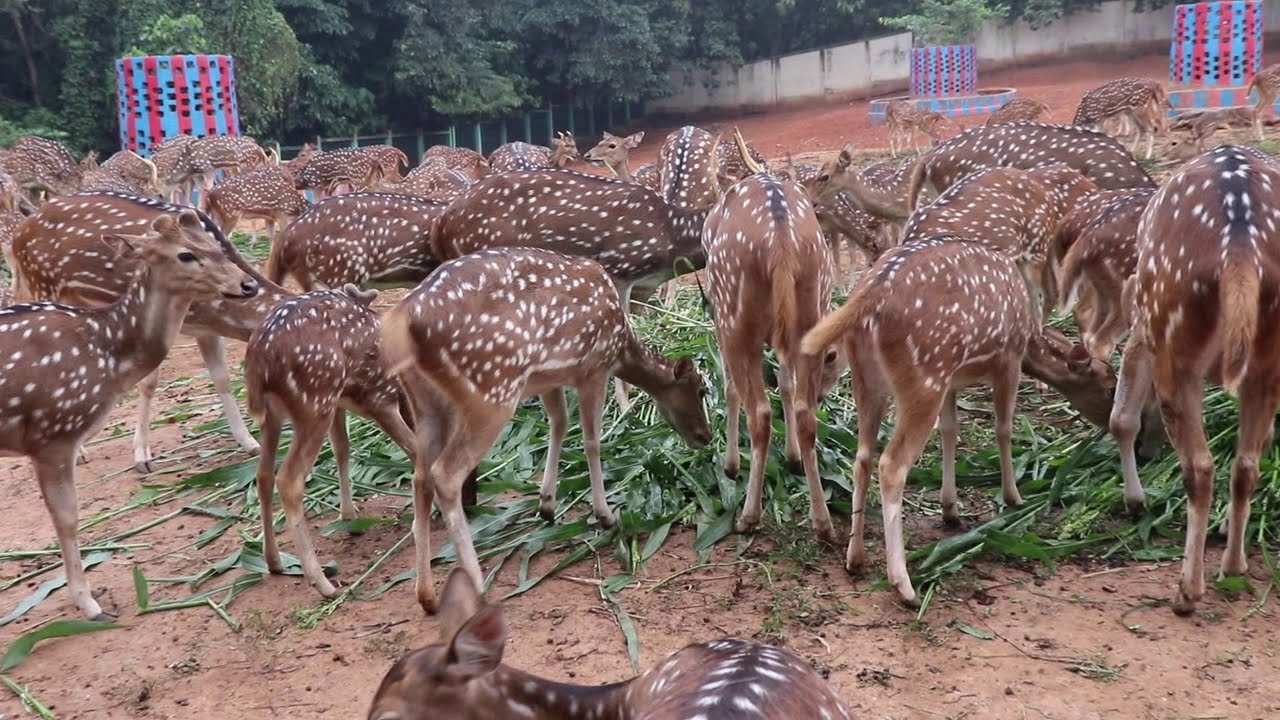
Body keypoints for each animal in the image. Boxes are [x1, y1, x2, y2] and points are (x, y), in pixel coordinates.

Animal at [0, 209, 259, 620]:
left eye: (215, 244)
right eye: (186, 254)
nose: (247, 284)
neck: (107, 352)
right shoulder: (52, 434)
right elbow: (67, 518)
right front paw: (90, 605)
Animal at [9, 191, 292, 472]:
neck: (221, 314)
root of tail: (18, 232)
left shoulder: (206, 328)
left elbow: (221, 379)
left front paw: (250, 443)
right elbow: (149, 382)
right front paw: (142, 456)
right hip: (42, 285)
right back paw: (78, 450)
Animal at [380, 247, 712, 611]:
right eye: (701, 390)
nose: (706, 436)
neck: (621, 345)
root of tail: (403, 324)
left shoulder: (549, 378)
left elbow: (560, 422)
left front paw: (547, 505)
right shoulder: (593, 368)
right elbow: (591, 439)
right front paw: (606, 515)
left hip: (427, 406)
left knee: (420, 477)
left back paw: (427, 596)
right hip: (493, 391)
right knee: (445, 475)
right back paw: (477, 587)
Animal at [703, 173, 844, 544]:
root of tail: (781, 247)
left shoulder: (719, 319)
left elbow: (730, 387)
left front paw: (730, 465)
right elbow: (785, 383)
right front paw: (793, 458)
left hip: (733, 314)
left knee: (761, 414)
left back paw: (748, 516)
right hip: (811, 312)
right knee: (806, 412)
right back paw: (823, 523)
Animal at [1106, 146, 1280, 616]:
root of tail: (1241, 249)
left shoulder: (1144, 331)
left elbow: (1121, 417)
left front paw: (1134, 500)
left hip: (1172, 337)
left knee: (1200, 468)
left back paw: (1187, 591)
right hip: (1267, 357)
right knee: (1245, 463)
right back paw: (1233, 564)